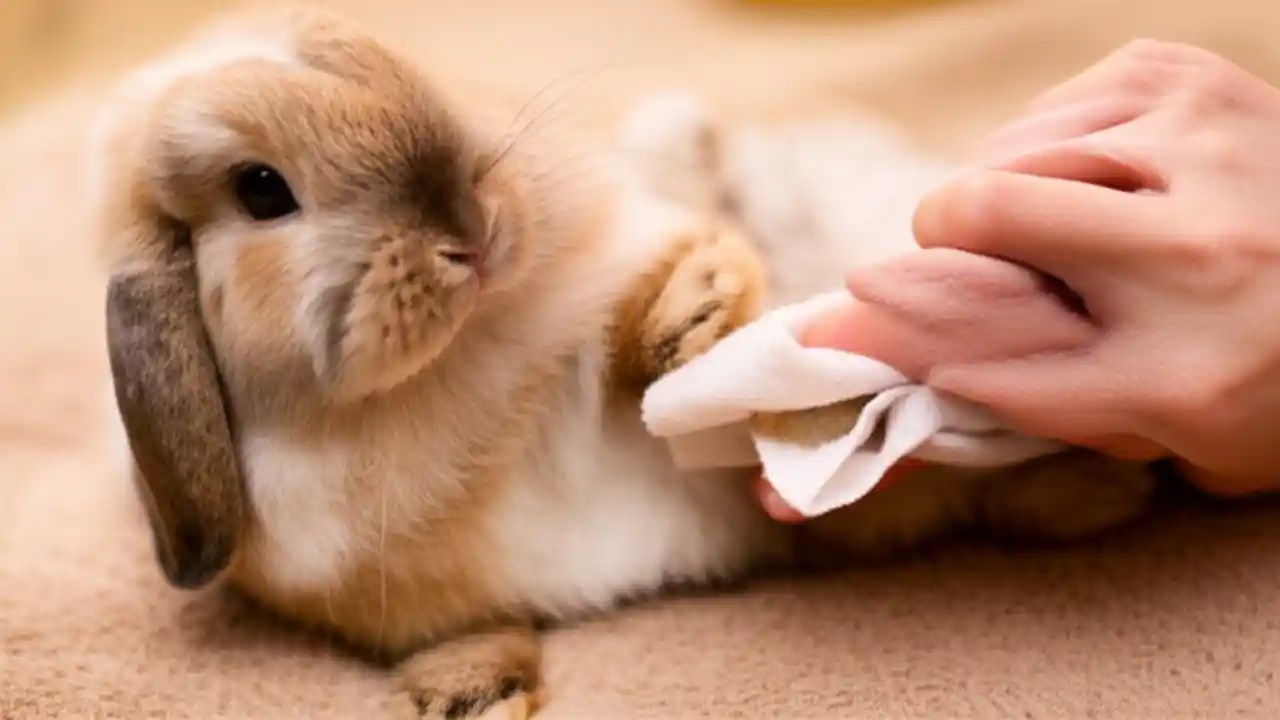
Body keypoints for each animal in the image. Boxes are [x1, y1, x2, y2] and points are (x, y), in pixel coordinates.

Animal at [95, 7, 1155, 719]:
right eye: (260, 190)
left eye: (375, 58)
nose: (470, 227)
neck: (445, 385)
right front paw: (462, 693)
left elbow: (638, 354)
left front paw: (697, 301)